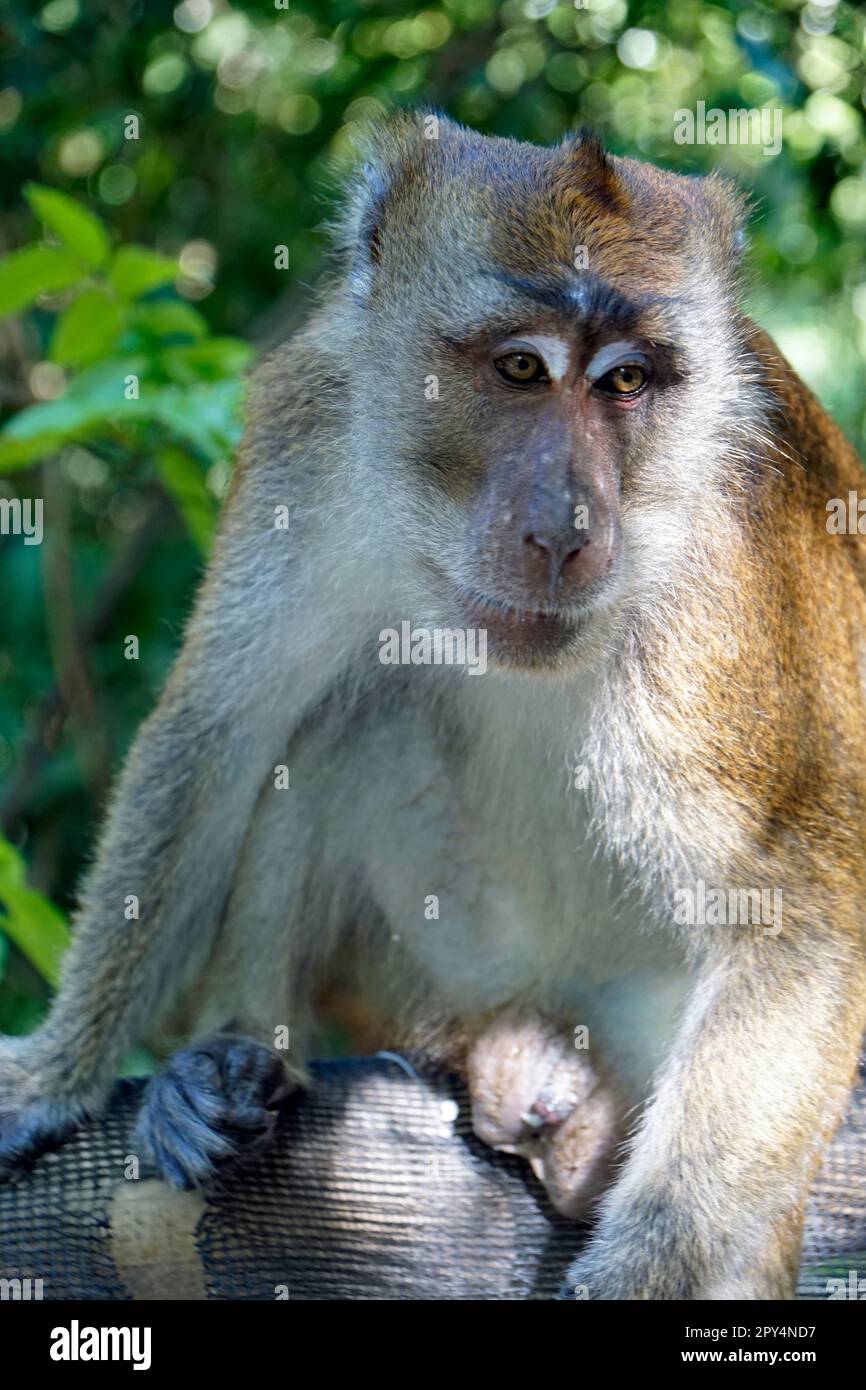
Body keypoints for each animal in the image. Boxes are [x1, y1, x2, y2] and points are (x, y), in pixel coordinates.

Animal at [1, 112, 866, 1301]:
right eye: (521, 368)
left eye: (627, 383)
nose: (566, 528)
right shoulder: (311, 430)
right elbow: (218, 733)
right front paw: (55, 1072)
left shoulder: (732, 567)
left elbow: (798, 898)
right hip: (443, 973)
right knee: (347, 716)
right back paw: (232, 1061)